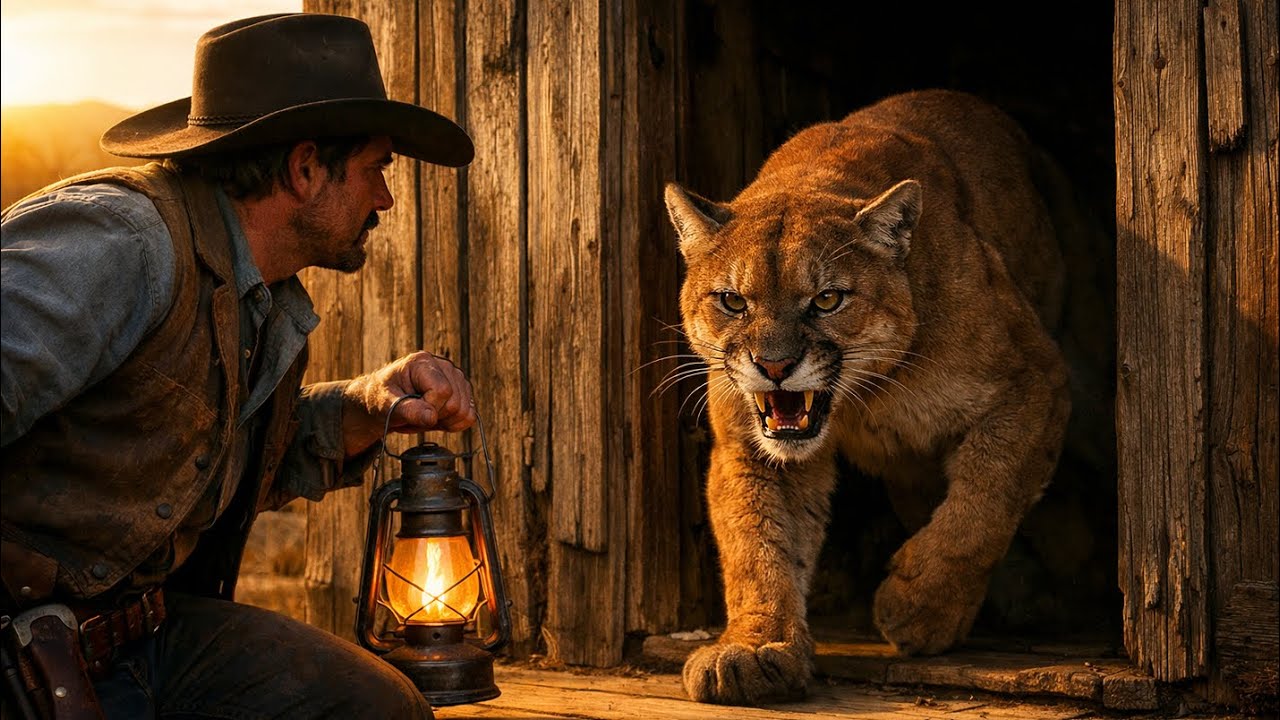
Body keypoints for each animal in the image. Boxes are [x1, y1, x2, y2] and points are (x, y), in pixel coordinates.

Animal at [664, 89, 1085, 705]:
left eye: (827, 299)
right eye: (733, 301)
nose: (774, 366)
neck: (865, 398)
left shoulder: (1035, 379)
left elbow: (984, 503)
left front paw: (918, 609)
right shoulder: (751, 445)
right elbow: (757, 546)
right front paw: (757, 646)